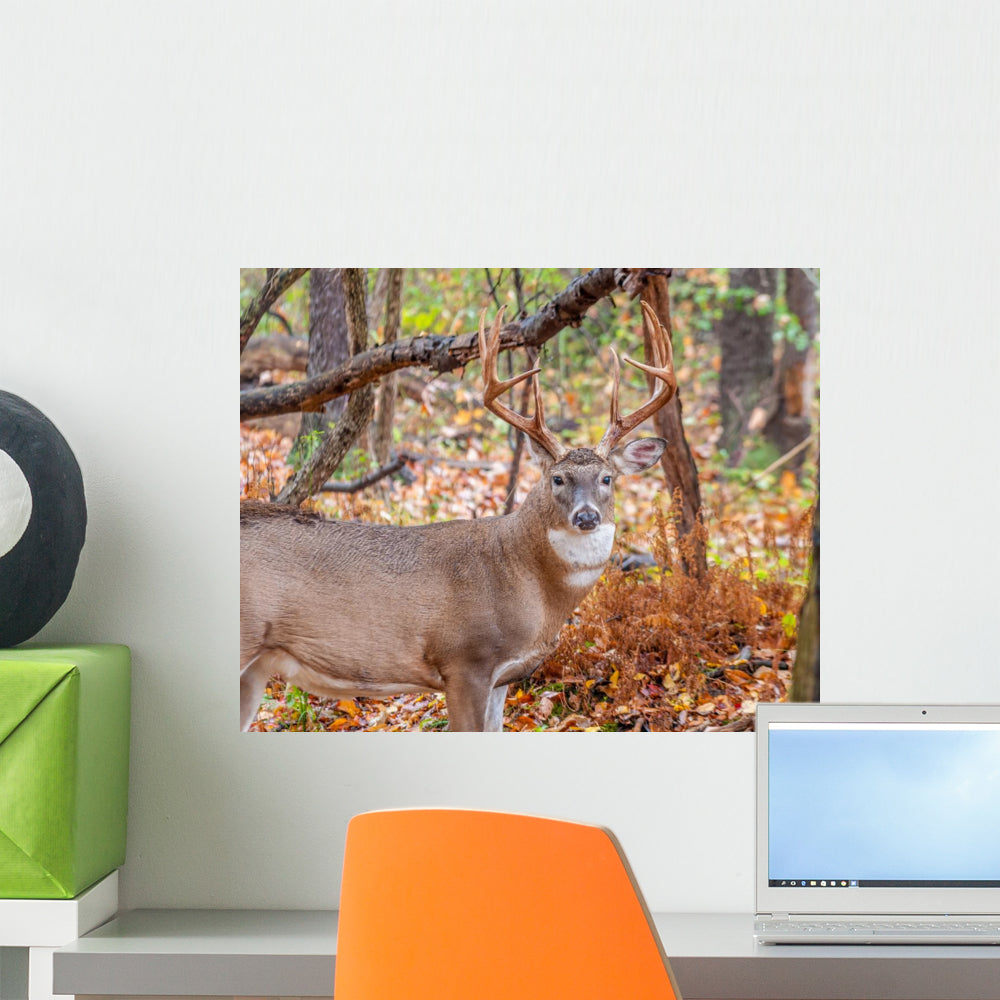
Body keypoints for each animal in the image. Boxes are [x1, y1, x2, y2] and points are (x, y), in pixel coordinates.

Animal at [240, 301, 677, 732]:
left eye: (607, 478)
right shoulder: (465, 660)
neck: (526, 581)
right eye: (558, 478)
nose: (586, 517)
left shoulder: (503, 677)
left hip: (257, 667)